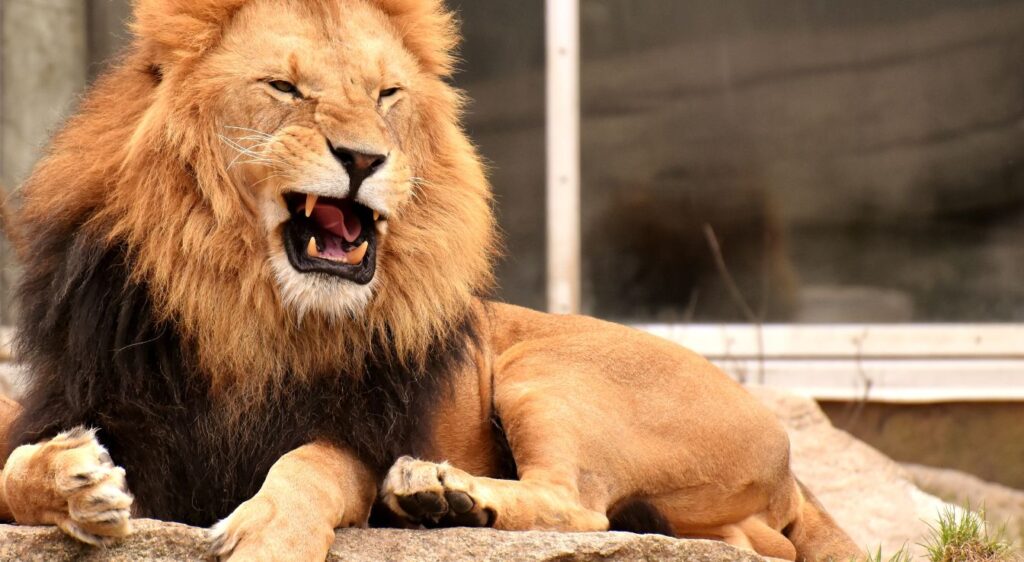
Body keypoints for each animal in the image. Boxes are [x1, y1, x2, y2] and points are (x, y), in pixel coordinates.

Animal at [0, 0, 861, 560]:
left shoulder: (358, 430)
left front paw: (271, 535)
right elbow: (14, 470)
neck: (242, 309)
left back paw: (439, 493)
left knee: (581, 507)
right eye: (285, 89)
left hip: (547, 371)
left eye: (388, 94)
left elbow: (307, 466)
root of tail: (791, 463)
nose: (363, 158)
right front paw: (73, 481)